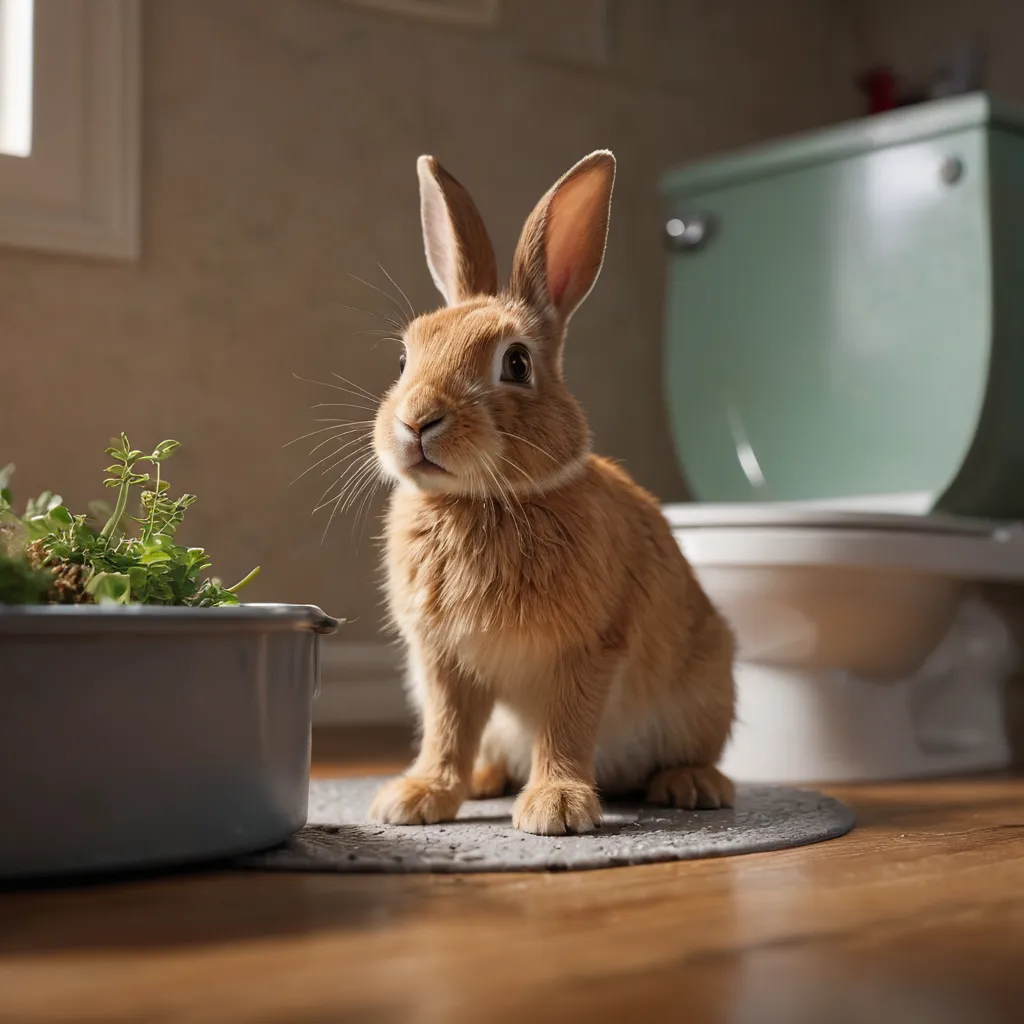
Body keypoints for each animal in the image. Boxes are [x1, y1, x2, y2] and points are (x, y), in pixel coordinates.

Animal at [367, 149, 736, 836]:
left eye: (516, 363)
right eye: (404, 360)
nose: (417, 421)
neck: (485, 499)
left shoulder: (586, 649)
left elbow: (565, 727)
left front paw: (556, 810)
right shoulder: (442, 663)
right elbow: (446, 730)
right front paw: (416, 798)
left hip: (706, 687)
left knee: (687, 752)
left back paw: (692, 784)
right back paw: (484, 781)